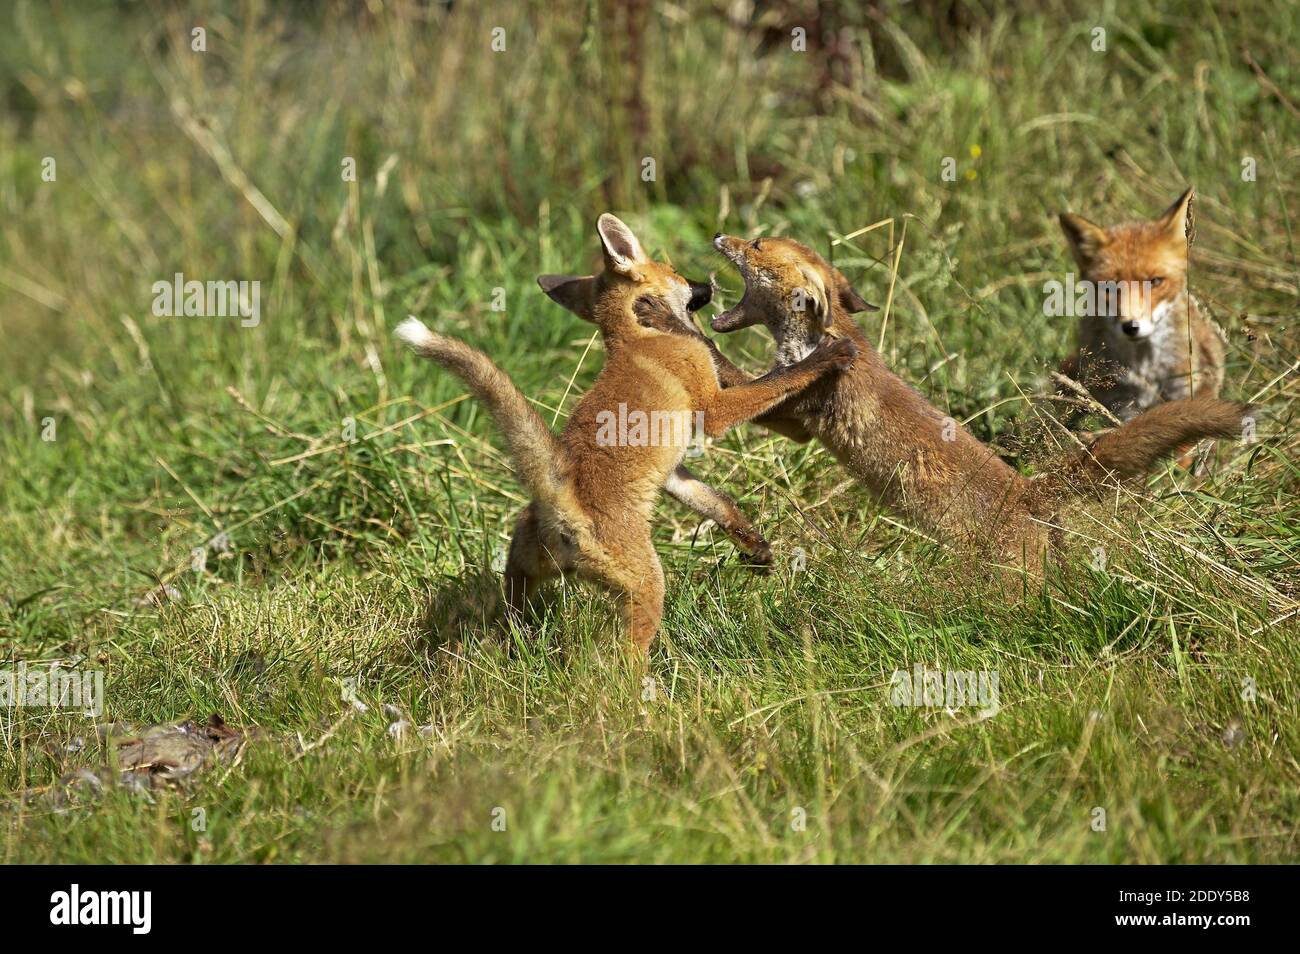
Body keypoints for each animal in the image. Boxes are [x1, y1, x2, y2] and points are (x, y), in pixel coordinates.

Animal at [395, 214, 856, 653]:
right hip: (647, 591)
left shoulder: (671, 471)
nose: (704, 283)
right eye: (674, 271)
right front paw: (825, 357)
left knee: (510, 624)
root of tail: (562, 498)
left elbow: (717, 503)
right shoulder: (713, 408)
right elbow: (776, 382)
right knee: (621, 665)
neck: (637, 335)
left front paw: (753, 547)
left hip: (521, 575)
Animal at [710, 232, 1250, 579]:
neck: (814, 339)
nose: (718, 235)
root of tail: (1031, 493)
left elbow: (740, 382)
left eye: (755, 245)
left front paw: (692, 337)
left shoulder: (798, 412)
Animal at [1057, 187, 1227, 424]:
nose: (1131, 327)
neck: (1146, 367)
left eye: (1155, 281)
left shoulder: (1184, 389)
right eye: (1109, 287)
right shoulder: (1124, 405)